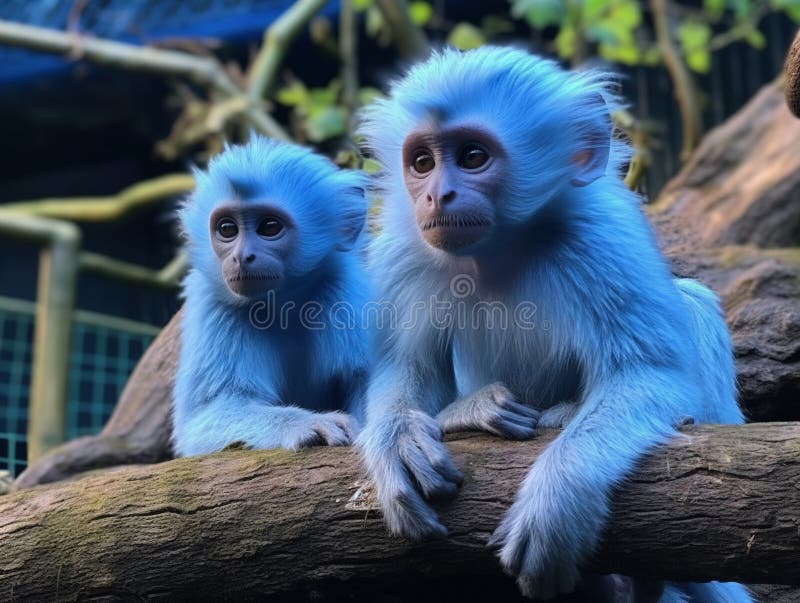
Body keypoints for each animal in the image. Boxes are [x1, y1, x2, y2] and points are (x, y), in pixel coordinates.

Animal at [172, 136, 370, 457]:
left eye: (269, 227)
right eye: (227, 229)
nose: (242, 257)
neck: (283, 304)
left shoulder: (346, 293)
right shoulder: (214, 306)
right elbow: (199, 420)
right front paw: (304, 424)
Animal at [356, 47, 751, 602]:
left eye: (473, 157)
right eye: (422, 163)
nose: (437, 196)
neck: (500, 251)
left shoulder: (600, 236)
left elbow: (655, 374)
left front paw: (557, 501)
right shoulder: (404, 252)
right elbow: (407, 367)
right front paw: (399, 442)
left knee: (692, 305)